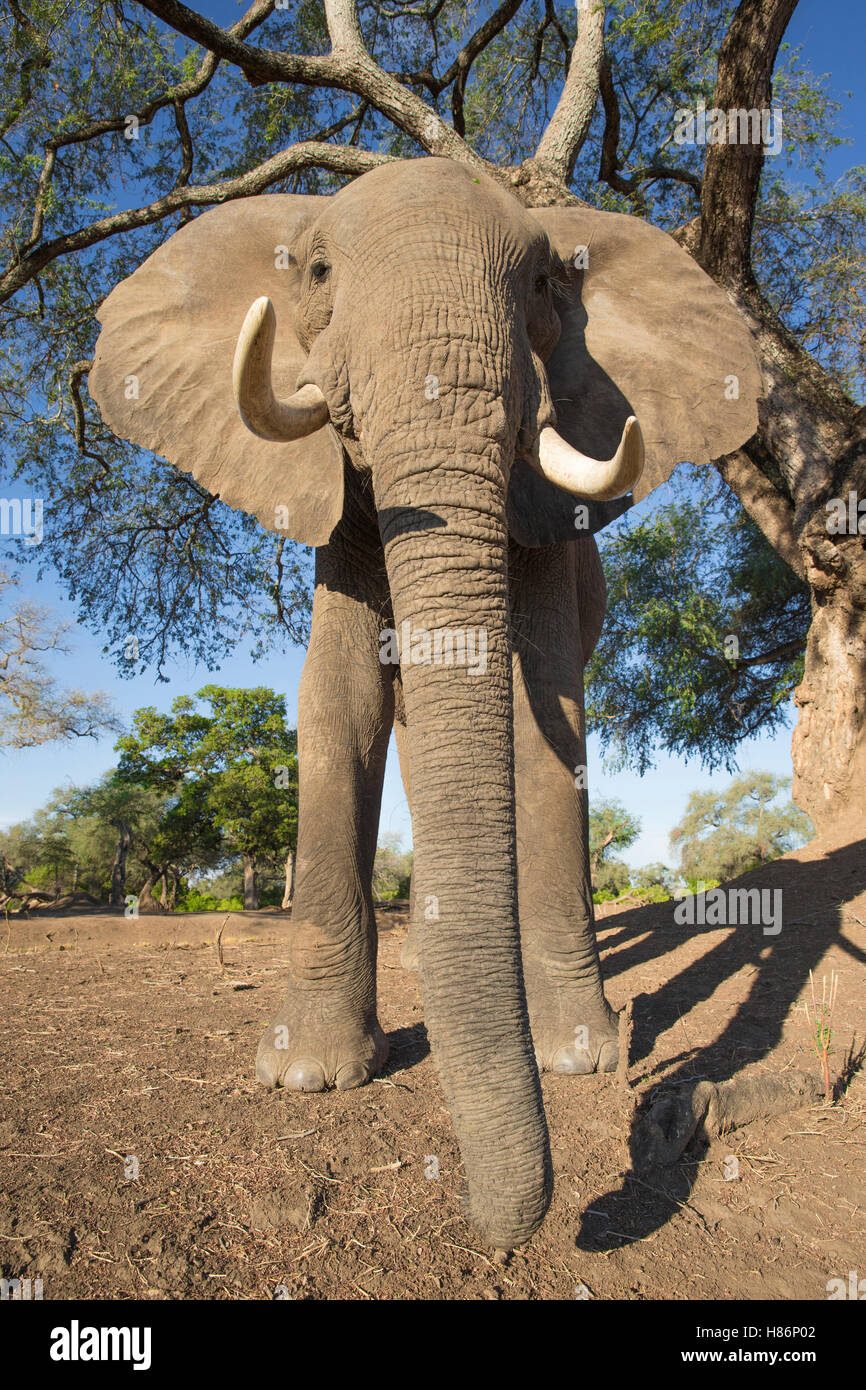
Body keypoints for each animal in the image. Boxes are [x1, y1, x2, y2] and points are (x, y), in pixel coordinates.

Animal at [89, 157, 761, 1250]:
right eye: (316, 270)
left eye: (544, 284)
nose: (517, 1228)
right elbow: (340, 706)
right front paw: (309, 1075)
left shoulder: (543, 525)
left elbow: (543, 724)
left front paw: (579, 1058)